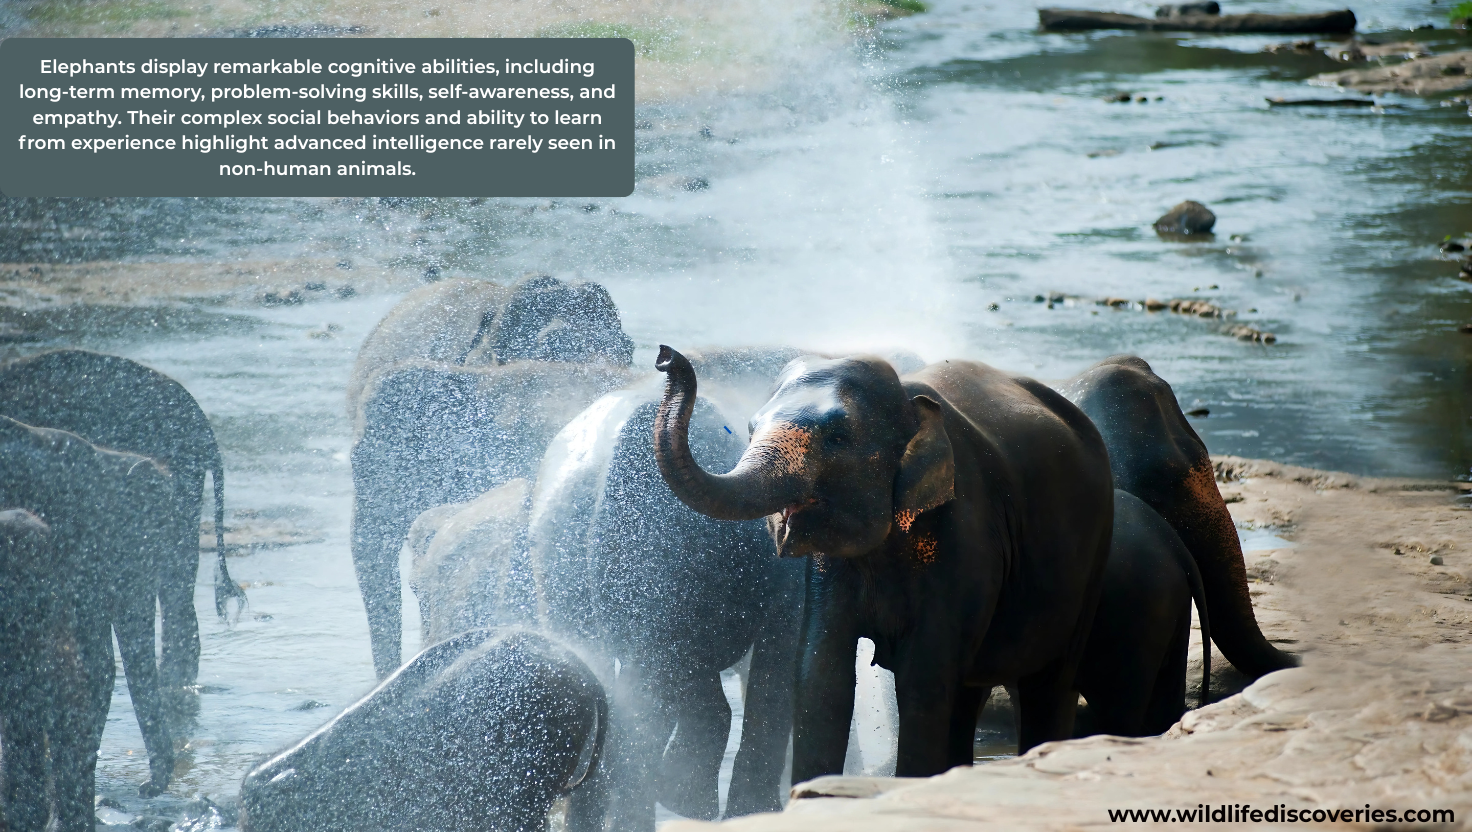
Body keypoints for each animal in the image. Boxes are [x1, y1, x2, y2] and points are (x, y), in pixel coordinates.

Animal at [652, 346, 1116, 782]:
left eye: (838, 438)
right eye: (750, 429)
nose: (664, 356)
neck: (909, 398)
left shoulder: (966, 536)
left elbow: (922, 677)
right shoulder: (830, 568)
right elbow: (821, 673)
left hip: (1096, 553)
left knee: (1047, 684)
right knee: (970, 693)